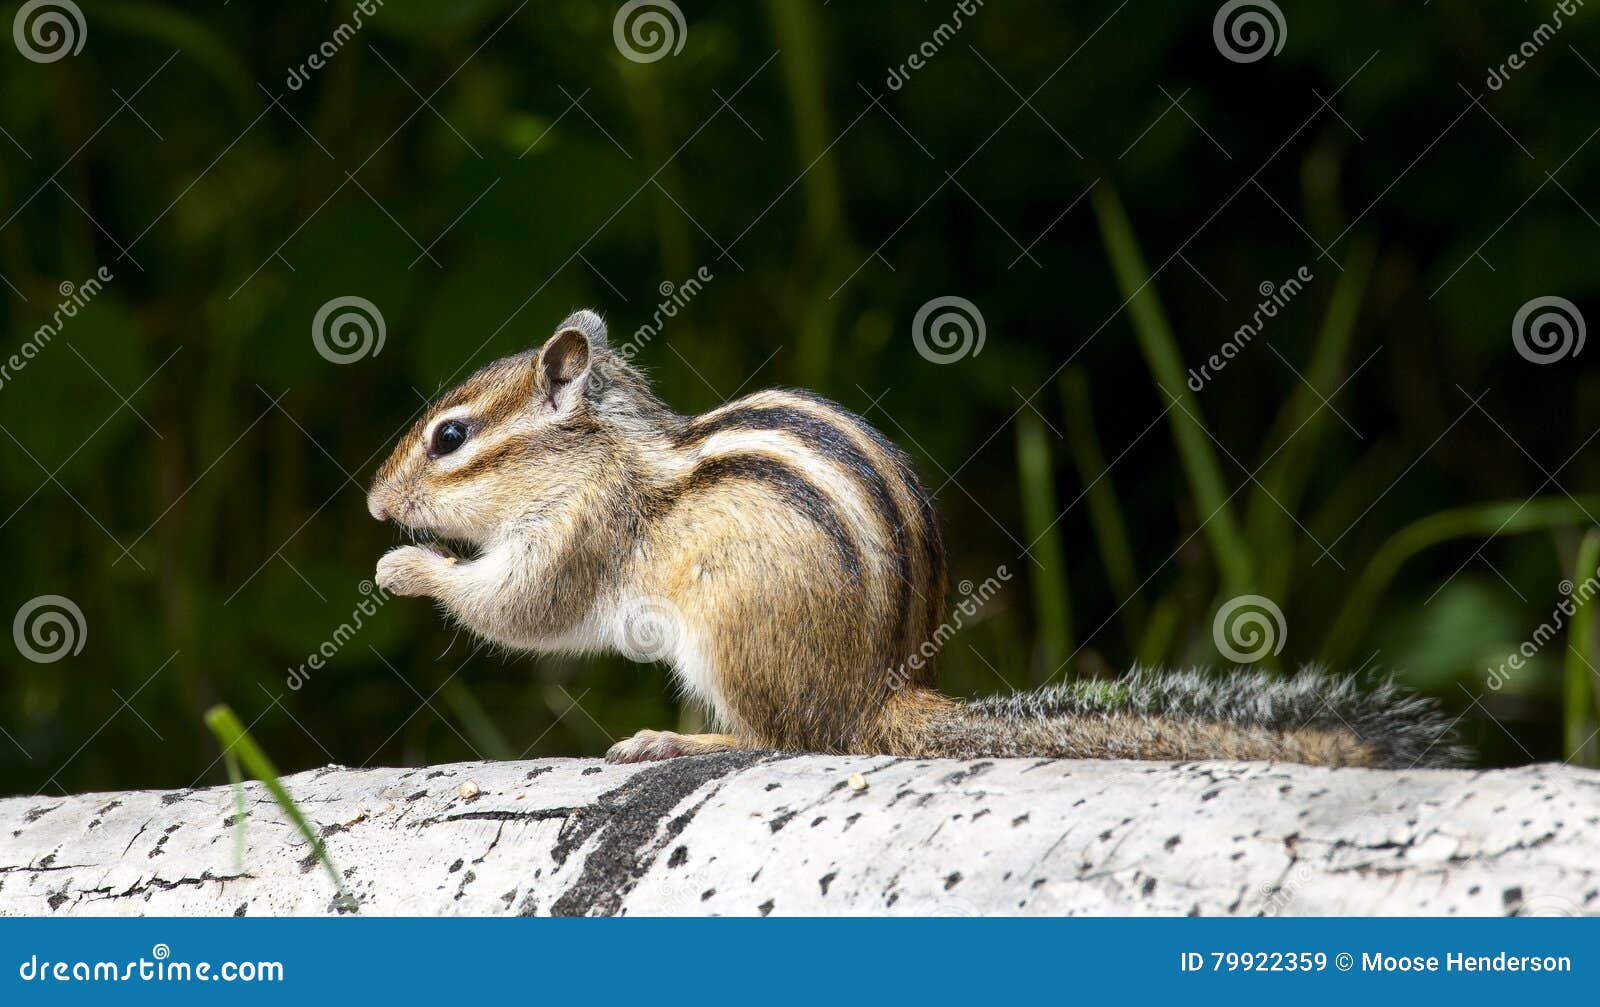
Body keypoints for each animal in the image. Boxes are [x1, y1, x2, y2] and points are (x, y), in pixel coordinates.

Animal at [369, 310, 1461, 769]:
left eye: (450, 437)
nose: (377, 504)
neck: (598, 452)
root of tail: (881, 692)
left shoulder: (581, 530)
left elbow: (523, 608)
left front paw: (406, 565)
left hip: (734, 631)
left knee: (790, 737)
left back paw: (679, 736)